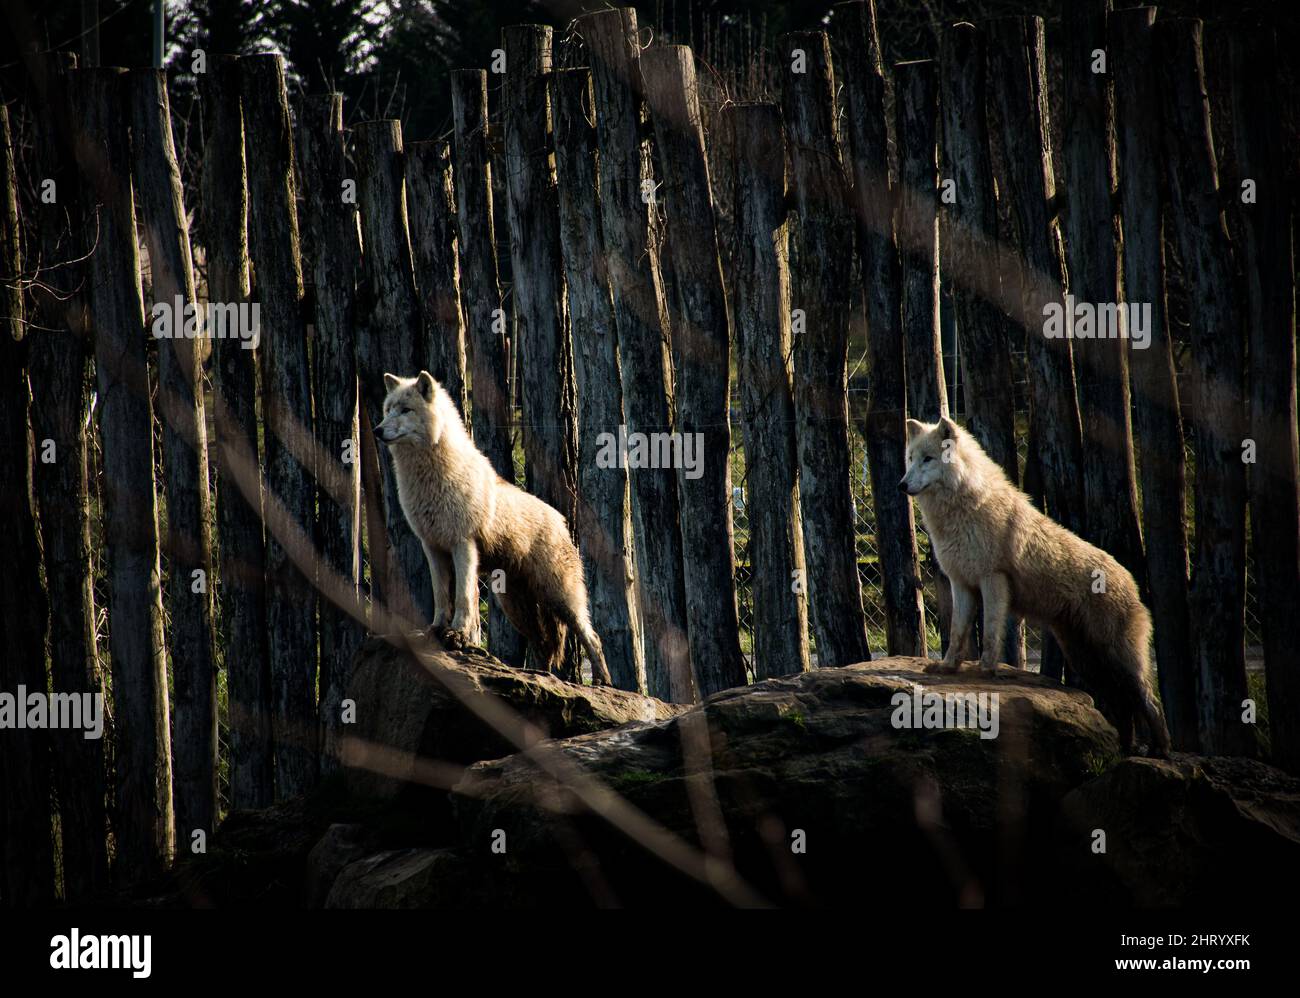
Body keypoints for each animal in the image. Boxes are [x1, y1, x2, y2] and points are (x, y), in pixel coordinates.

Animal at [374, 371, 612, 685]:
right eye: (388, 409)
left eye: (405, 410)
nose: (377, 430)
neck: (428, 476)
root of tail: (561, 521)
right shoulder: (433, 547)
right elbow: (441, 596)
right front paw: (436, 630)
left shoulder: (462, 544)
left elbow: (463, 597)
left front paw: (458, 634)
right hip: (516, 606)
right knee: (545, 644)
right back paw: (540, 676)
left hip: (560, 596)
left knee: (591, 635)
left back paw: (601, 680)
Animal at [900, 416, 1170, 757]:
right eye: (910, 458)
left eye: (928, 459)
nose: (902, 485)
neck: (963, 507)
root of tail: (1131, 581)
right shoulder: (961, 584)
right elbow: (957, 632)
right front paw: (947, 667)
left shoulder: (993, 579)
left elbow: (991, 633)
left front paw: (986, 670)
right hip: (1085, 661)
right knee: (1123, 706)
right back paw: (1125, 750)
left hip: (1120, 659)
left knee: (1150, 701)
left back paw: (1160, 750)